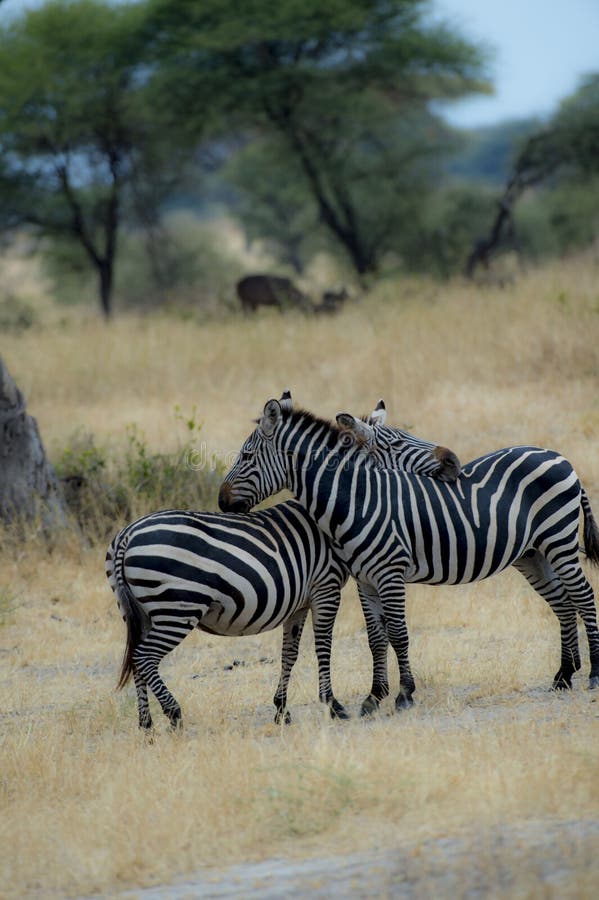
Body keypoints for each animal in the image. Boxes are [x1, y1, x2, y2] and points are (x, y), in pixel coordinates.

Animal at [106, 393, 458, 730]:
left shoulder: (299, 600)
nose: (453, 462)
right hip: (176, 608)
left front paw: (282, 711)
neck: (335, 513)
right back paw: (174, 714)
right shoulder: (325, 587)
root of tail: (126, 535)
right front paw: (332, 705)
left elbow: (290, 652)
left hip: (141, 613)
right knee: (145, 657)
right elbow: (323, 644)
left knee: (136, 659)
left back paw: (146, 725)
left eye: (246, 456)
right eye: (397, 443)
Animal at [218, 393, 599, 715]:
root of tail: (557, 455)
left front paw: (404, 694)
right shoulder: (364, 580)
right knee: (563, 602)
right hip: (533, 554)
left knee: (584, 595)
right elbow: (375, 638)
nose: (221, 500)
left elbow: (399, 633)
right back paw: (563, 675)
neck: (357, 499)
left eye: (246, 456)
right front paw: (374, 697)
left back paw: (593, 673)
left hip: (559, 540)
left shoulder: (390, 573)